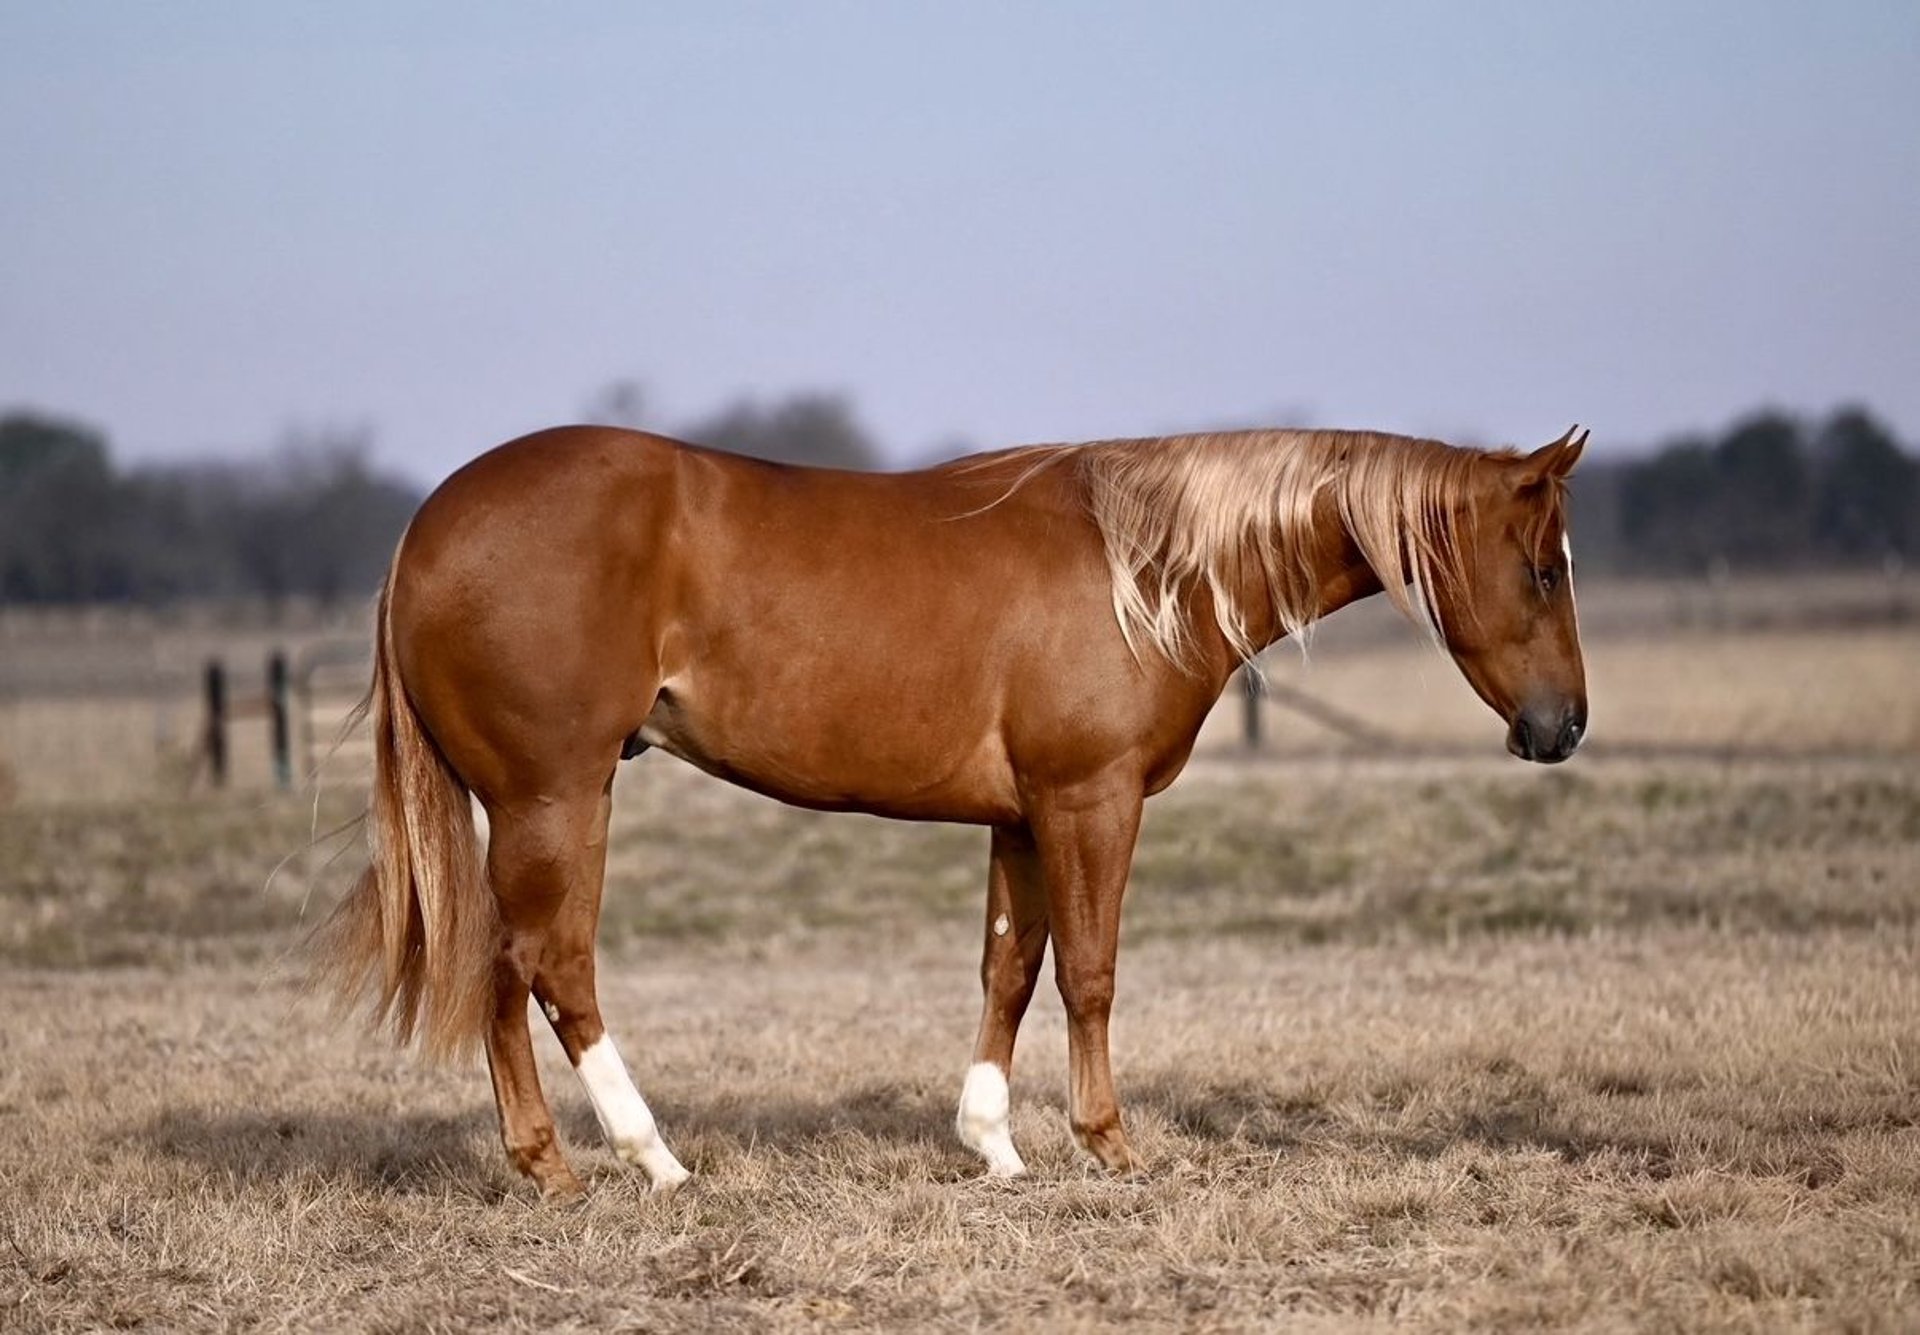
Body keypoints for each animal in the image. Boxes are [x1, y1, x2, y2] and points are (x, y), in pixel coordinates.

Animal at [316, 421, 1589, 1198]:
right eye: (1543, 569)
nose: (1563, 728)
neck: (1143, 571)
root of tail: (427, 529)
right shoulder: (1090, 801)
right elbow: (1089, 973)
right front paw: (1108, 1144)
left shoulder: (1023, 817)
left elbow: (1009, 968)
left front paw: (995, 1145)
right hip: (559, 797)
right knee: (553, 963)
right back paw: (653, 1159)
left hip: (525, 809)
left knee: (500, 969)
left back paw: (547, 1165)